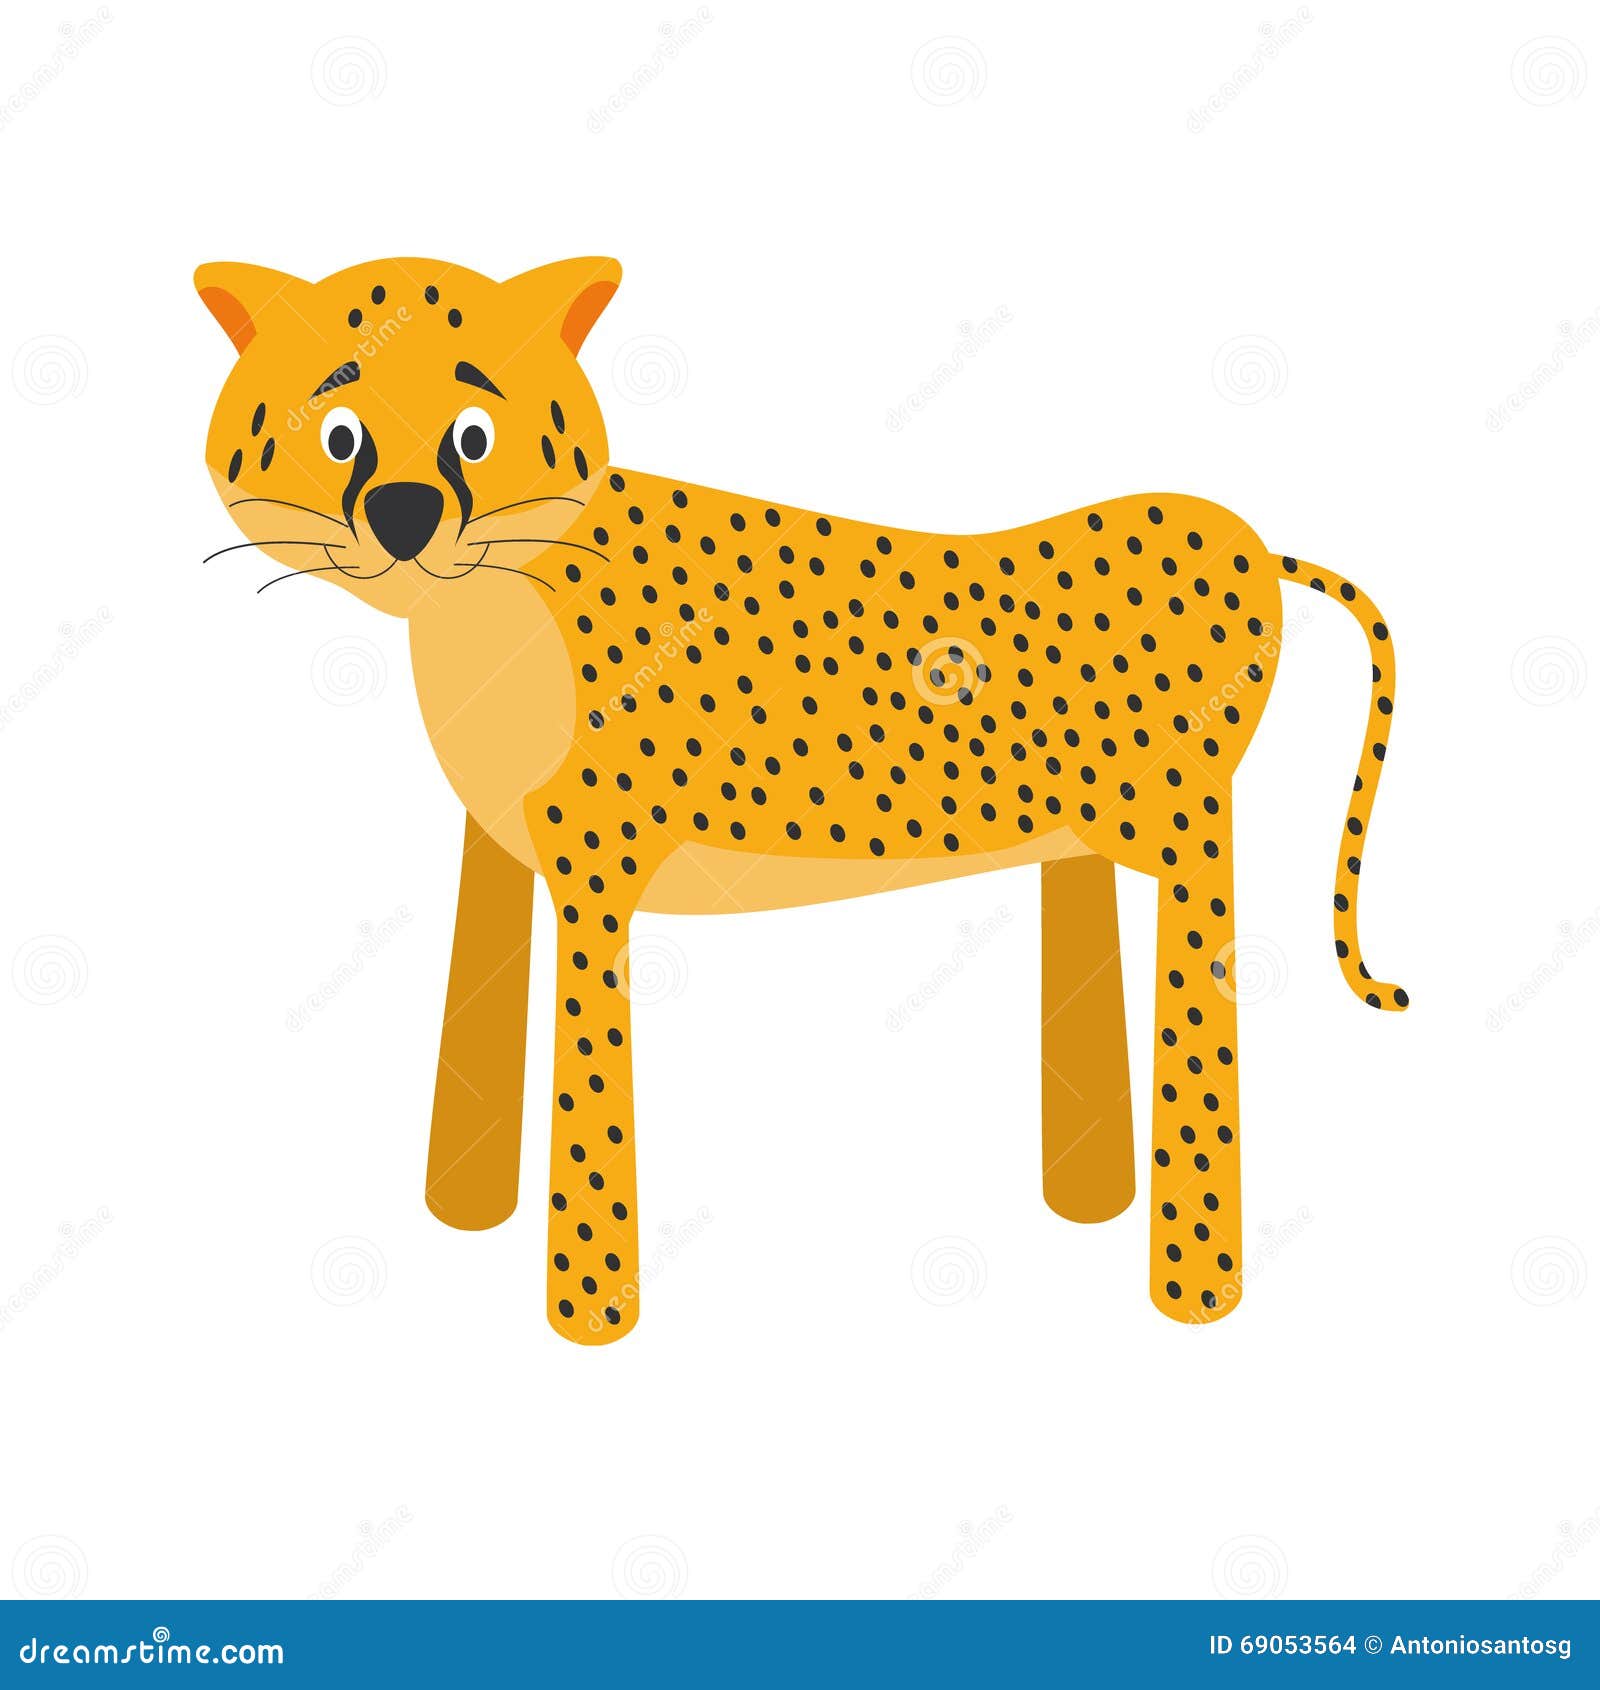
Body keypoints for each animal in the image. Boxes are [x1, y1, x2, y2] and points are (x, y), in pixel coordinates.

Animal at [197, 256, 1406, 1343]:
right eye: (338, 431)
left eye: (473, 437)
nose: (404, 517)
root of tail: (1249, 539)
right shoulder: (491, 851)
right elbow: (473, 1035)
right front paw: (462, 1219)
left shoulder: (598, 879)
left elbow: (590, 1110)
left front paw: (589, 1314)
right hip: (1078, 833)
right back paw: (1092, 1204)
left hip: (1189, 840)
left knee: (1201, 1045)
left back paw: (1194, 1292)